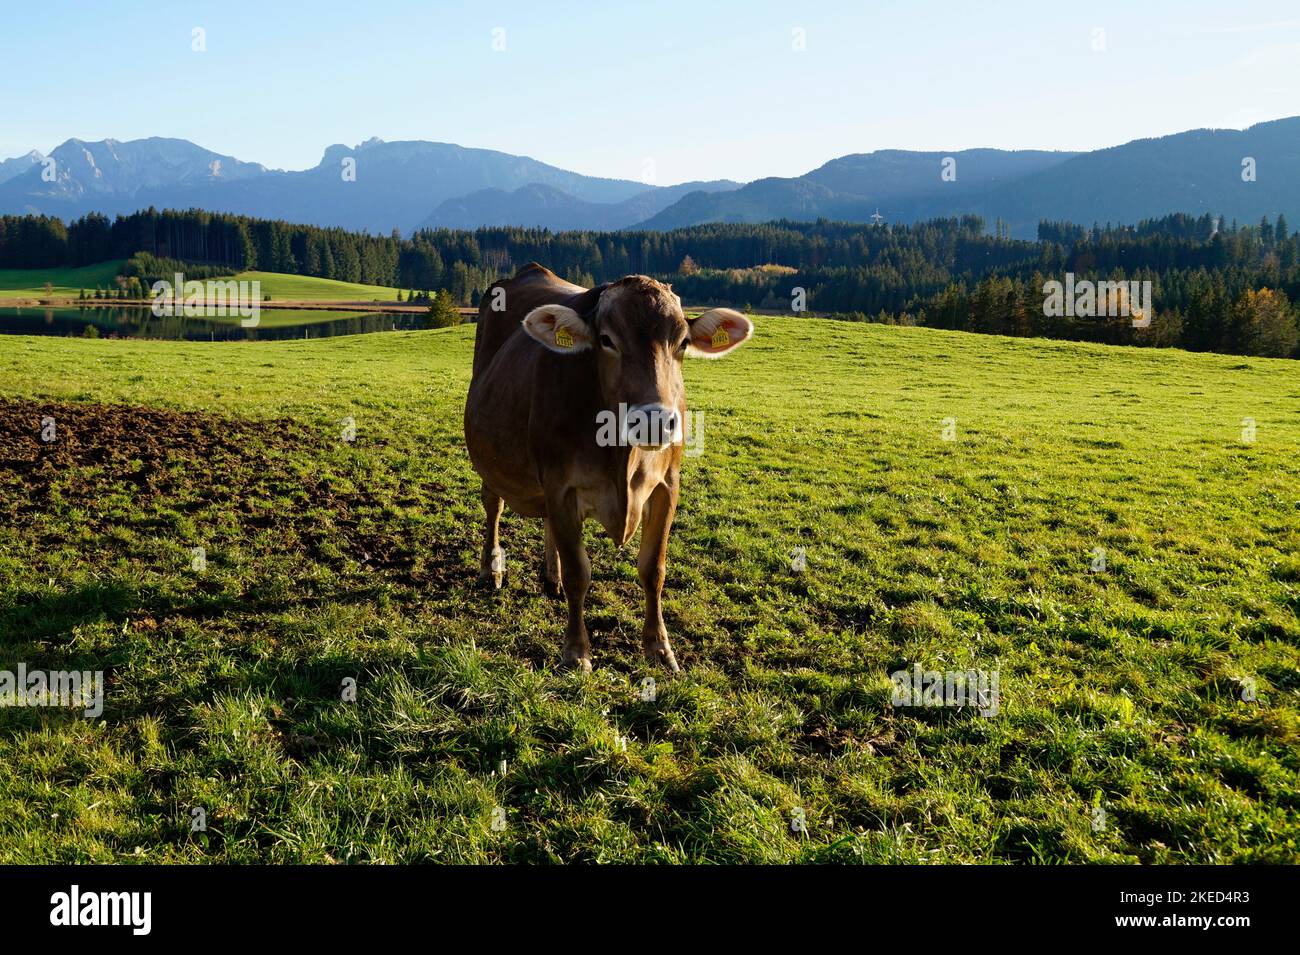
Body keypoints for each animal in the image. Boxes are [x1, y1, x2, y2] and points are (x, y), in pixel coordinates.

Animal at [463, 263, 753, 673]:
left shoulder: (667, 486)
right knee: (494, 505)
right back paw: (492, 571)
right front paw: (576, 651)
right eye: (606, 339)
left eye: (682, 342)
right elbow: (578, 572)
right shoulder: (561, 486)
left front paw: (659, 647)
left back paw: (549, 577)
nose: (654, 420)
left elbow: (653, 569)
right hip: (488, 455)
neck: (621, 458)